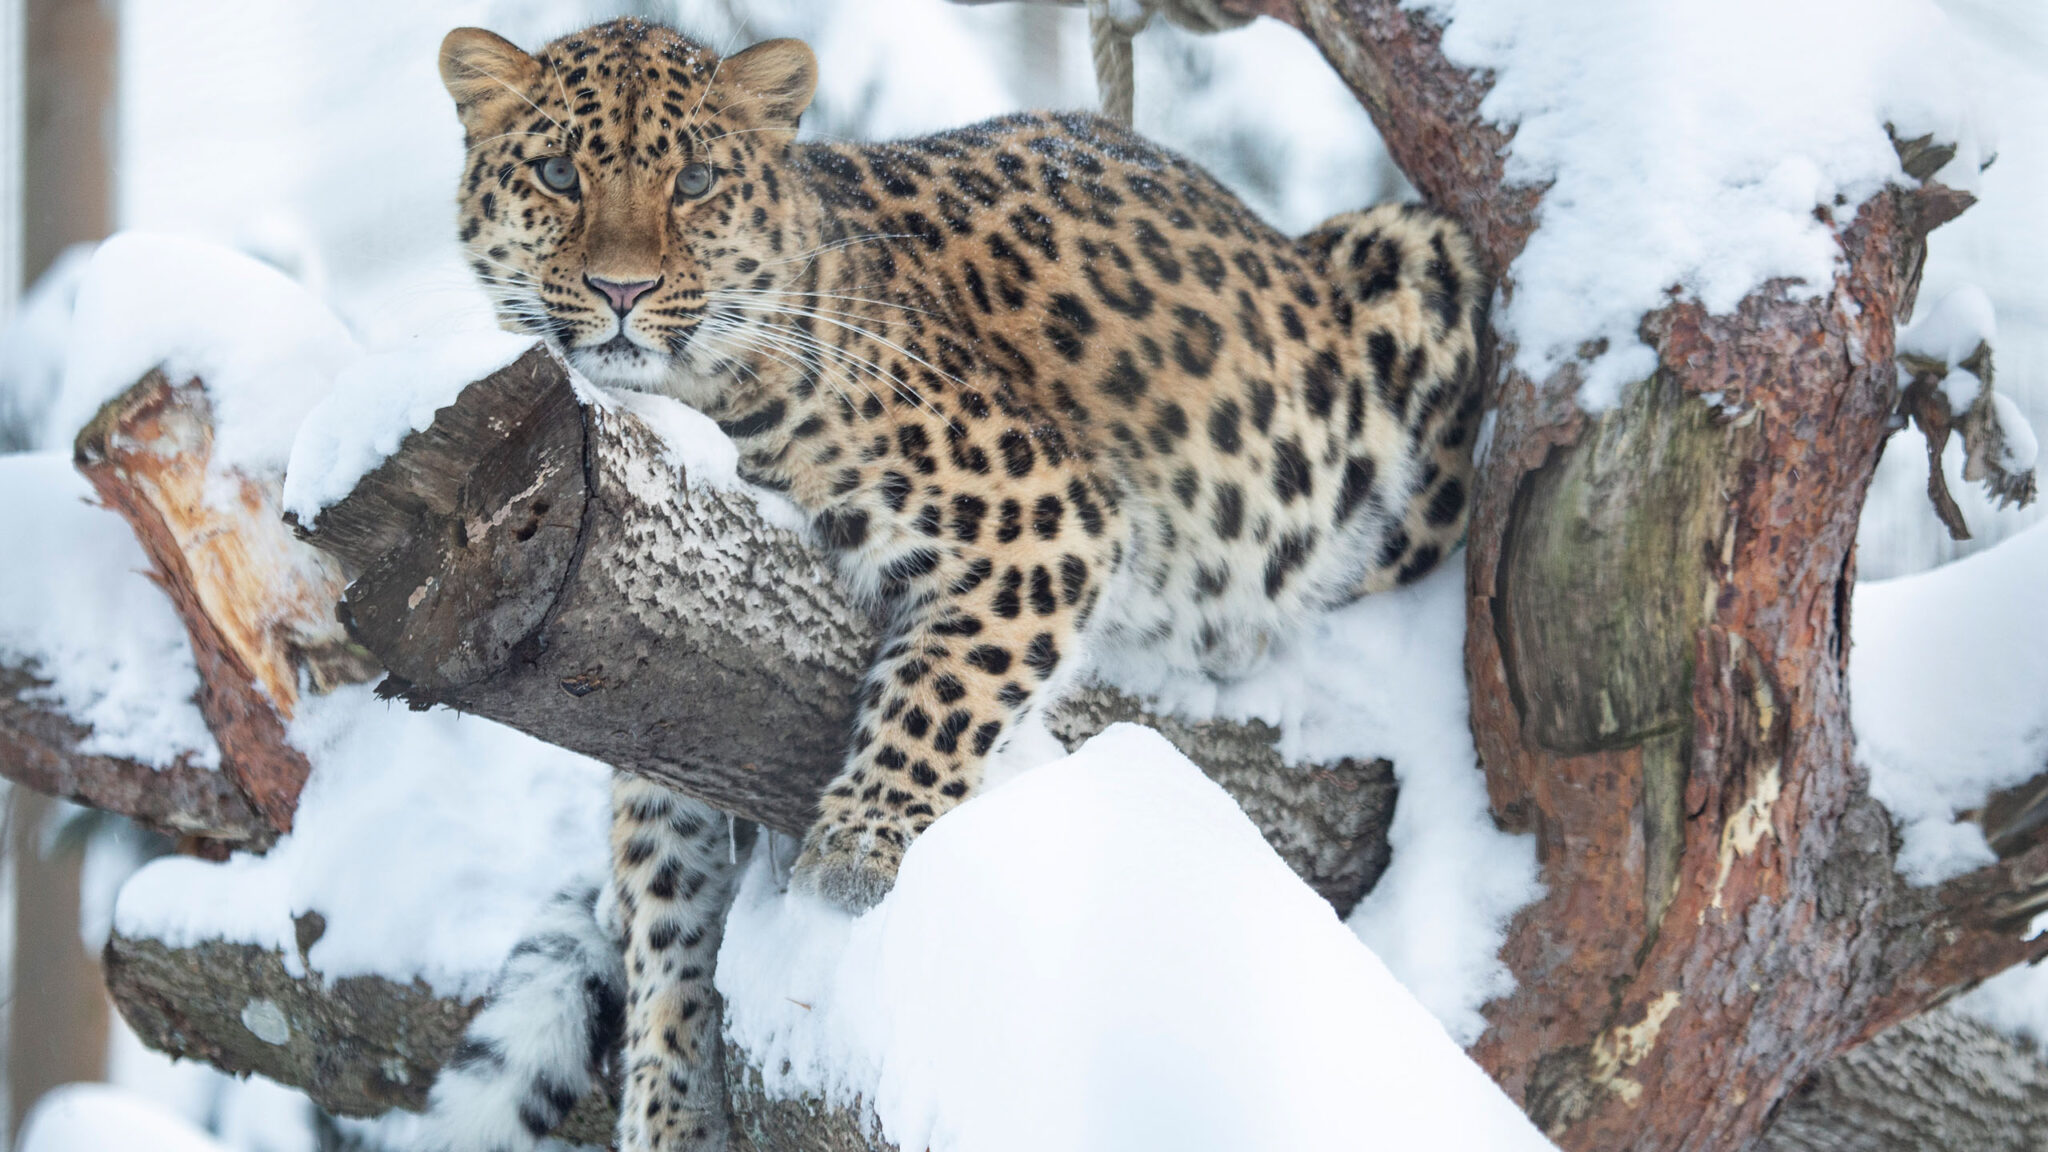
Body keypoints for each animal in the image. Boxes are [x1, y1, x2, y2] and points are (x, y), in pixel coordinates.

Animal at [420, 15, 1486, 1152]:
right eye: (558, 174)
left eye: (695, 180)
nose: (620, 292)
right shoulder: (655, 660)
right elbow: (662, 889)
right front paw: (670, 1105)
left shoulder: (1043, 506)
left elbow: (945, 683)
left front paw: (858, 847)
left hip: (1412, 274)